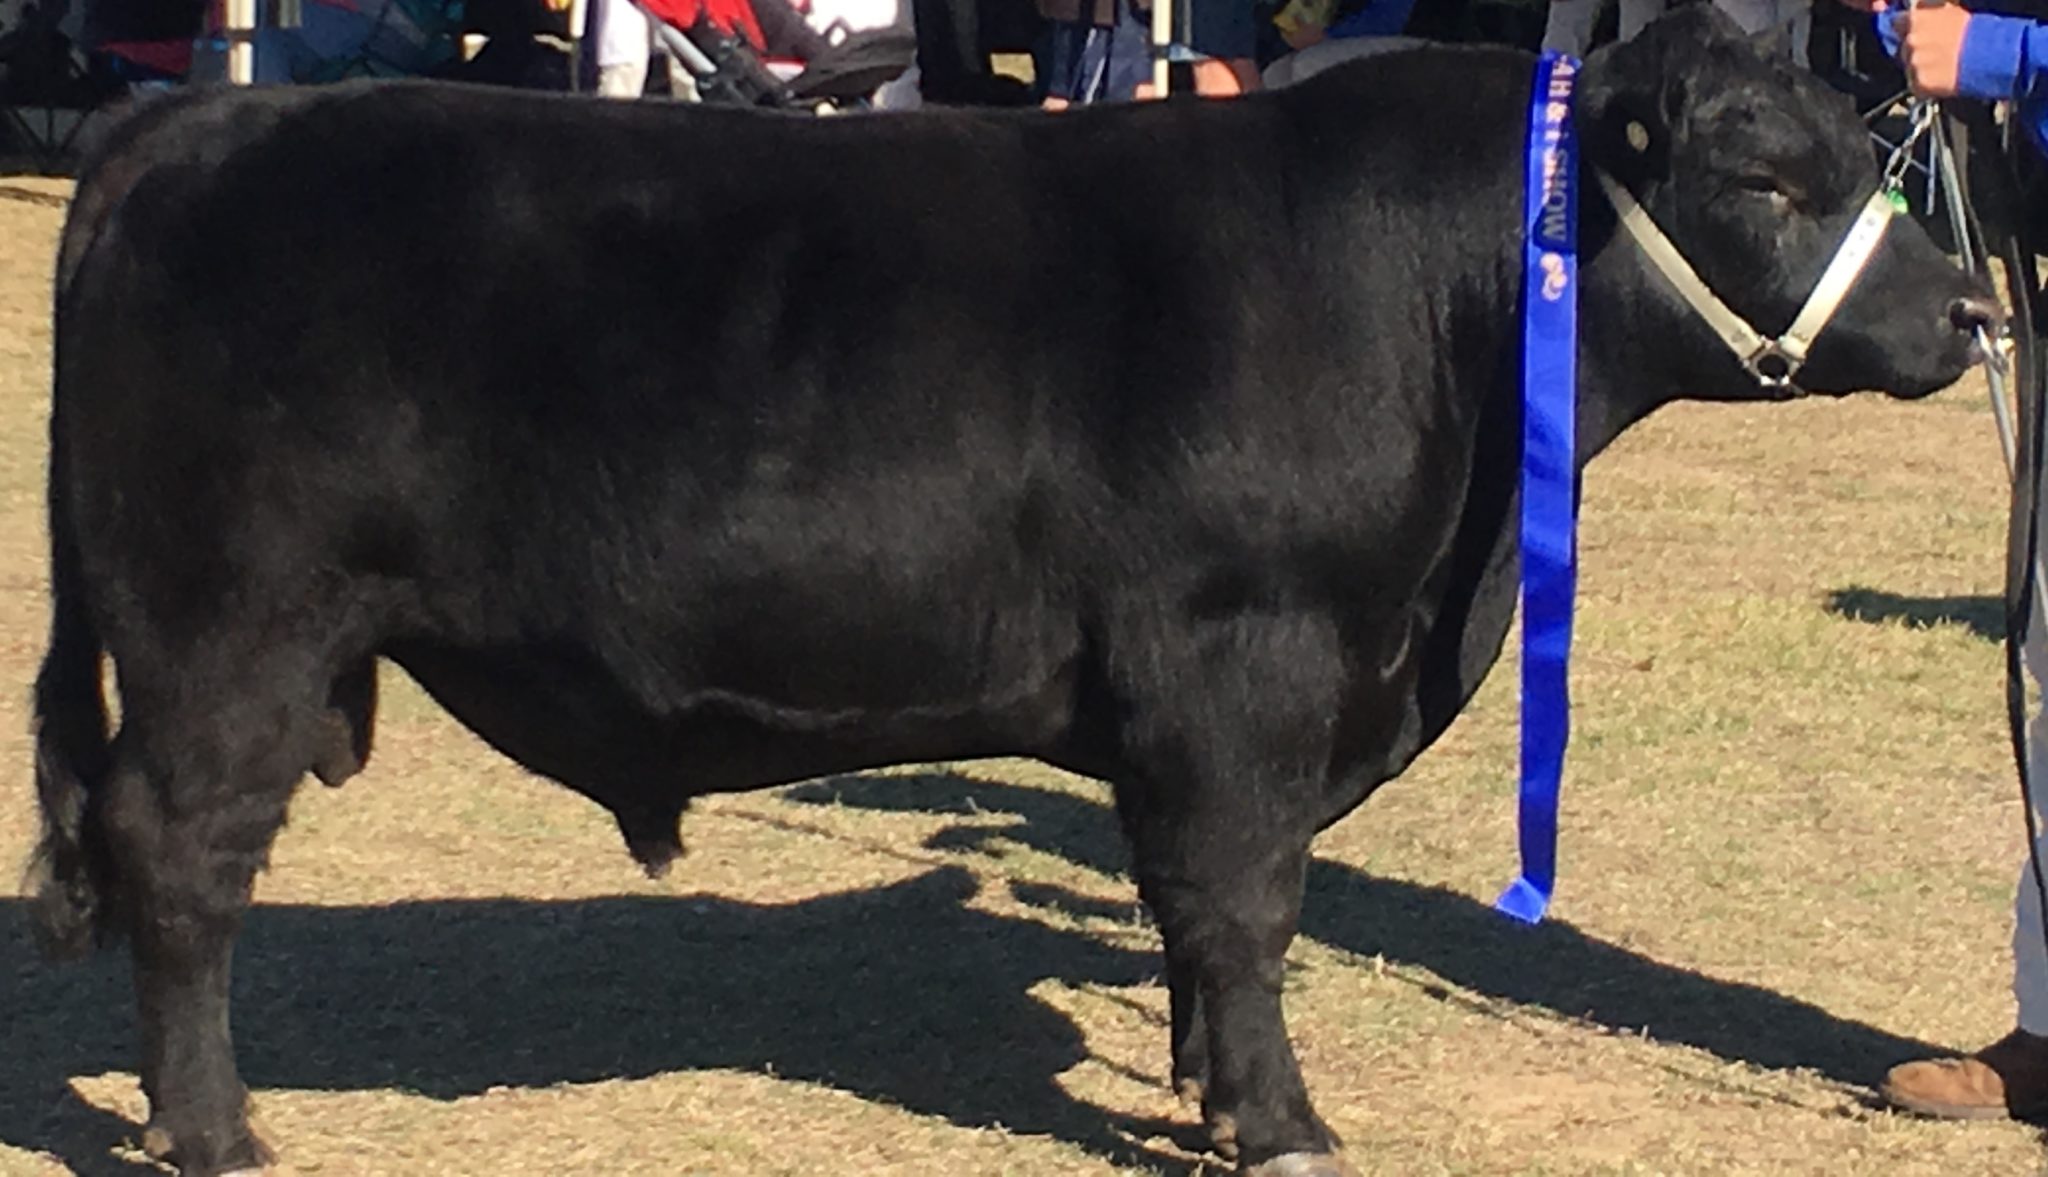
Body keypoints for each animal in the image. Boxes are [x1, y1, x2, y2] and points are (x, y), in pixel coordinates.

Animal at [26, 9, 1995, 1175]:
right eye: (1765, 180)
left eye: (1855, 154)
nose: (1974, 314)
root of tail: (197, 121)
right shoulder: (1244, 652)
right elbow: (1244, 896)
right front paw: (1279, 1118)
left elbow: (1184, 902)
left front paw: (1201, 1079)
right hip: (228, 633)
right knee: (181, 863)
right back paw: (217, 1135)